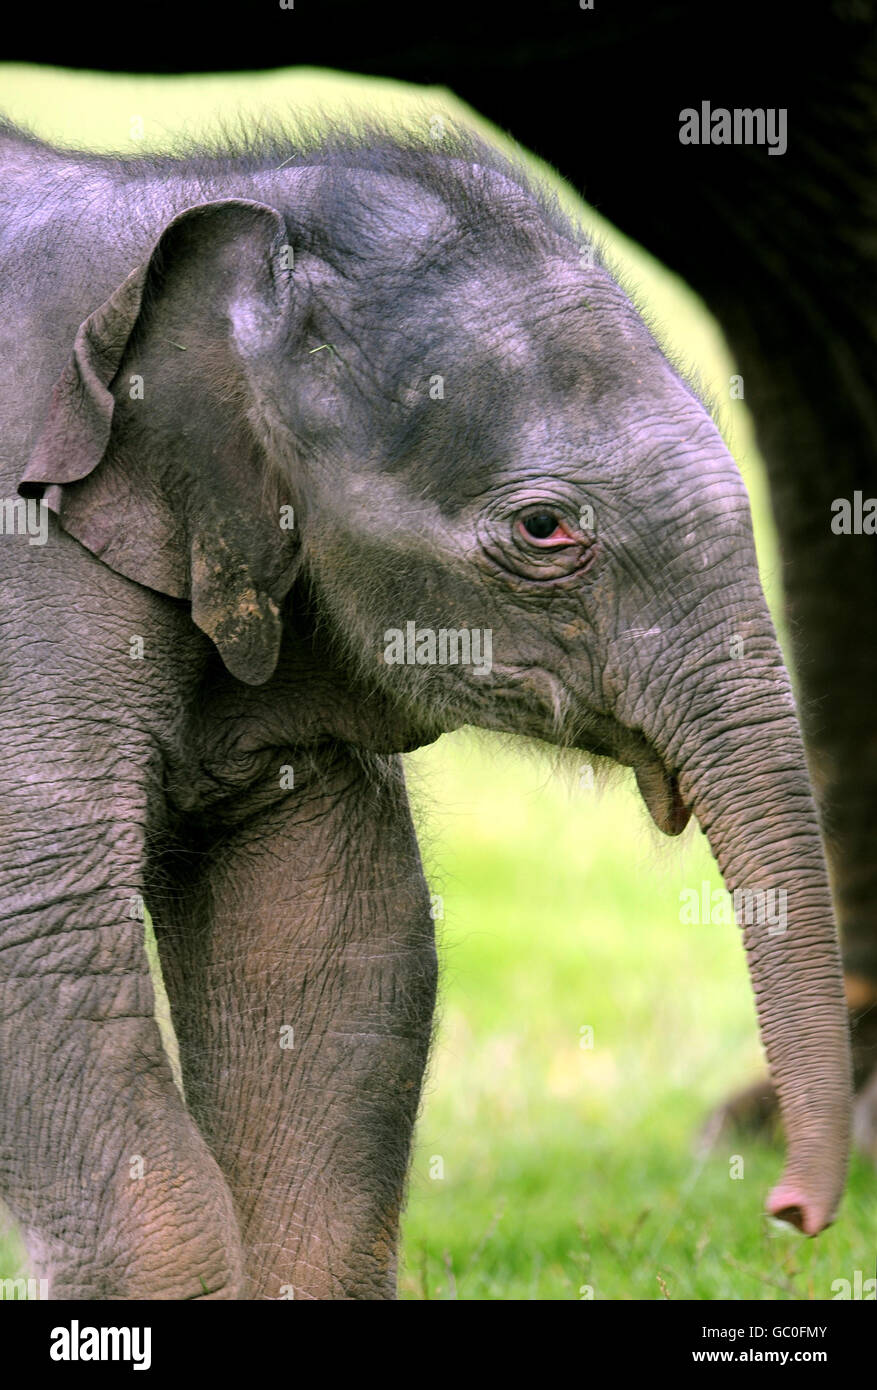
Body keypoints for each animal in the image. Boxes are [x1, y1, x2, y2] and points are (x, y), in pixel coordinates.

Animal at [0, 112, 853, 1300]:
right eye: (544, 529)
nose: (789, 1213)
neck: (196, 212)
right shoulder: (26, 576)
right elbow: (40, 925)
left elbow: (336, 936)